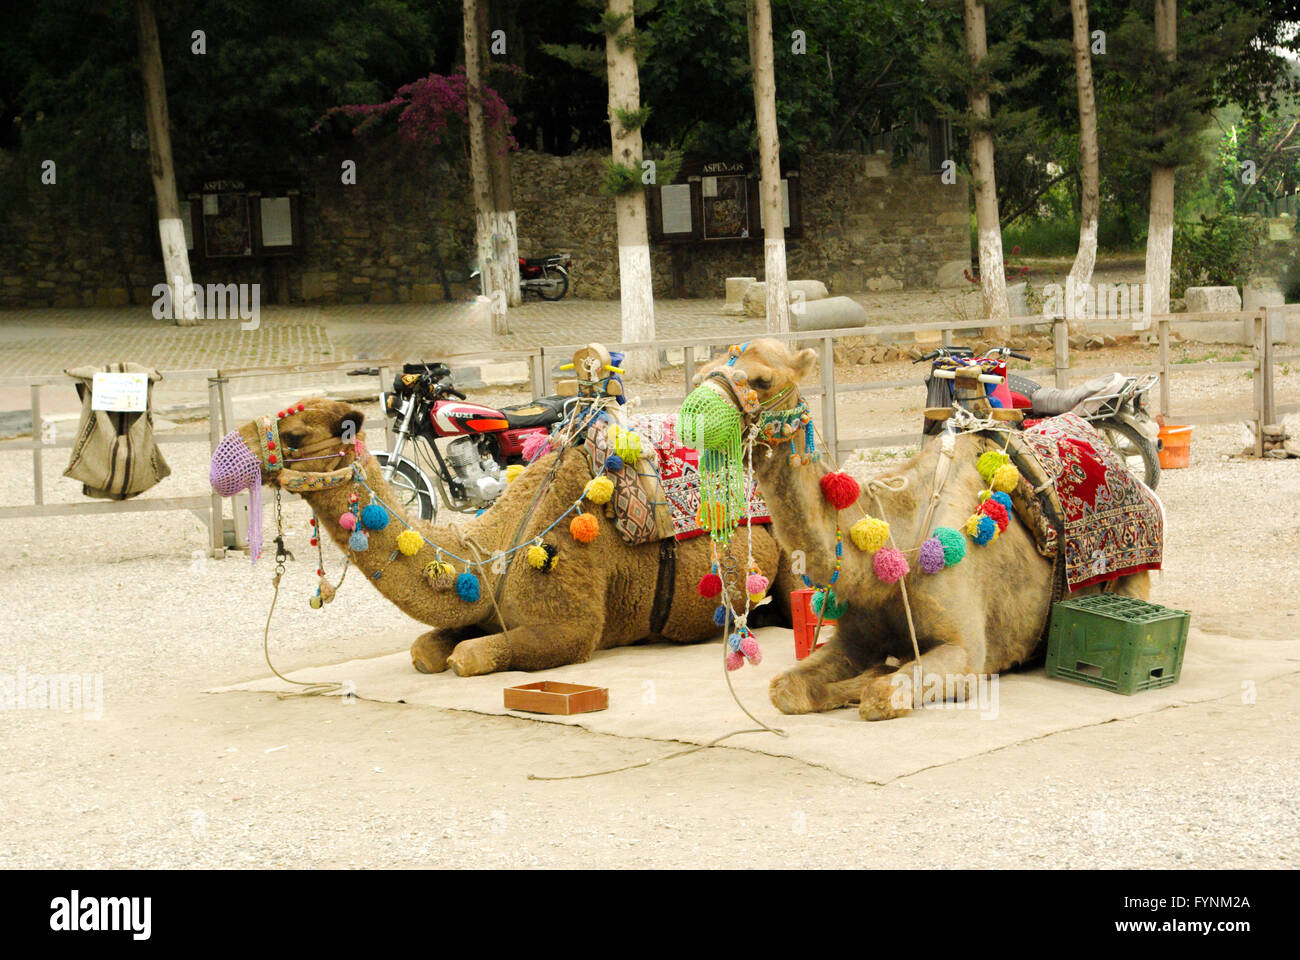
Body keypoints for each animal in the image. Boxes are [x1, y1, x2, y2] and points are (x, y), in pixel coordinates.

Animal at [212, 398, 780, 676]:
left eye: (294, 433)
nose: (223, 458)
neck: (495, 551)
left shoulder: (573, 630)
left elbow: (467, 659)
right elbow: (425, 649)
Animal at [691, 339, 1151, 721]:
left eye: (763, 379)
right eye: (699, 378)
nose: (696, 417)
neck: (901, 536)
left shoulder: (967, 652)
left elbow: (879, 695)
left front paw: (868, 680)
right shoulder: (851, 639)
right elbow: (784, 689)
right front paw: (857, 677)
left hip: (1133, 576)